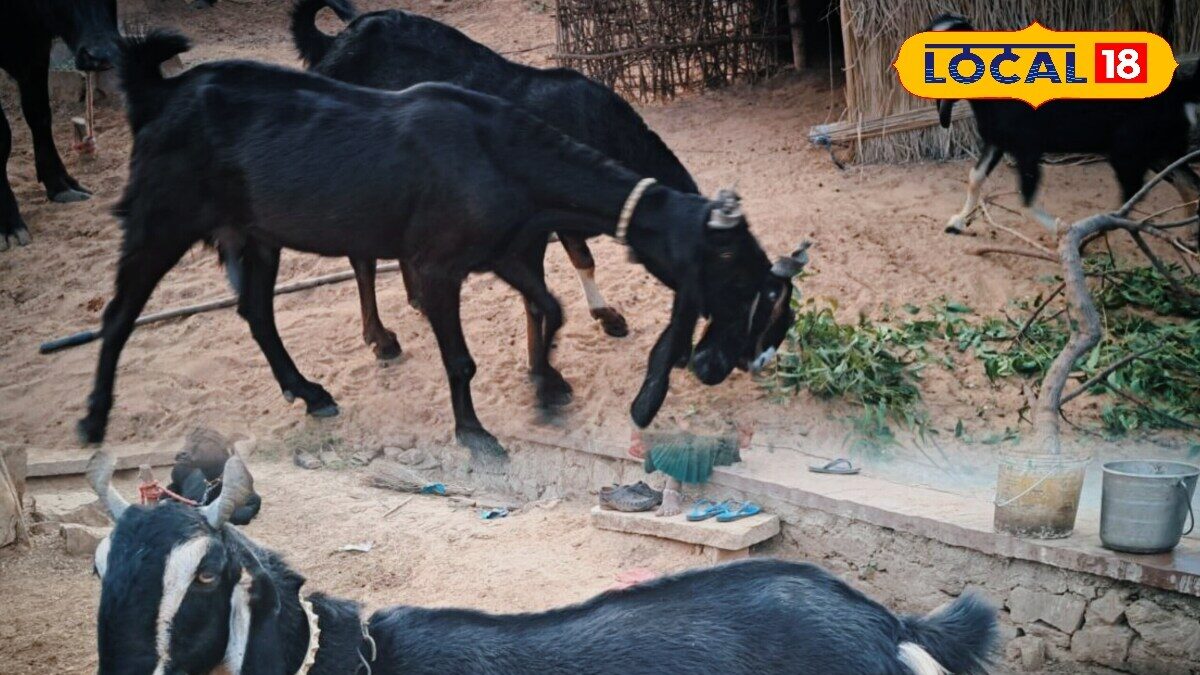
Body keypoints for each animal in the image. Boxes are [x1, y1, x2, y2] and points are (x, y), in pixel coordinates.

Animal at [0, 0, 119, 250]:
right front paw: (8, 222)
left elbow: (39, 114)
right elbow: (2, 136)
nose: (101, 56)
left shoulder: (34, 45)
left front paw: (60, 185)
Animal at [290, 0, 703, 356]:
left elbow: (581, 259)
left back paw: (418, 299)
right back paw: (381, 338)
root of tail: (332, 45)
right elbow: (580, 260)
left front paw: (607, 317)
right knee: (361, 255)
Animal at [933, 14, 1200, 245]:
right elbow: (975, 177)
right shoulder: (997, 142)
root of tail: (1179, 93)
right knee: (1188, 185)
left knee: (1132, 192)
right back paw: (1188, 235)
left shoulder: (1027, 149)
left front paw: (1061, 230)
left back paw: (1094, 231)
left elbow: (1026, 201)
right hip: (1160, 150)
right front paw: (957, 222)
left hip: (1128, 150)